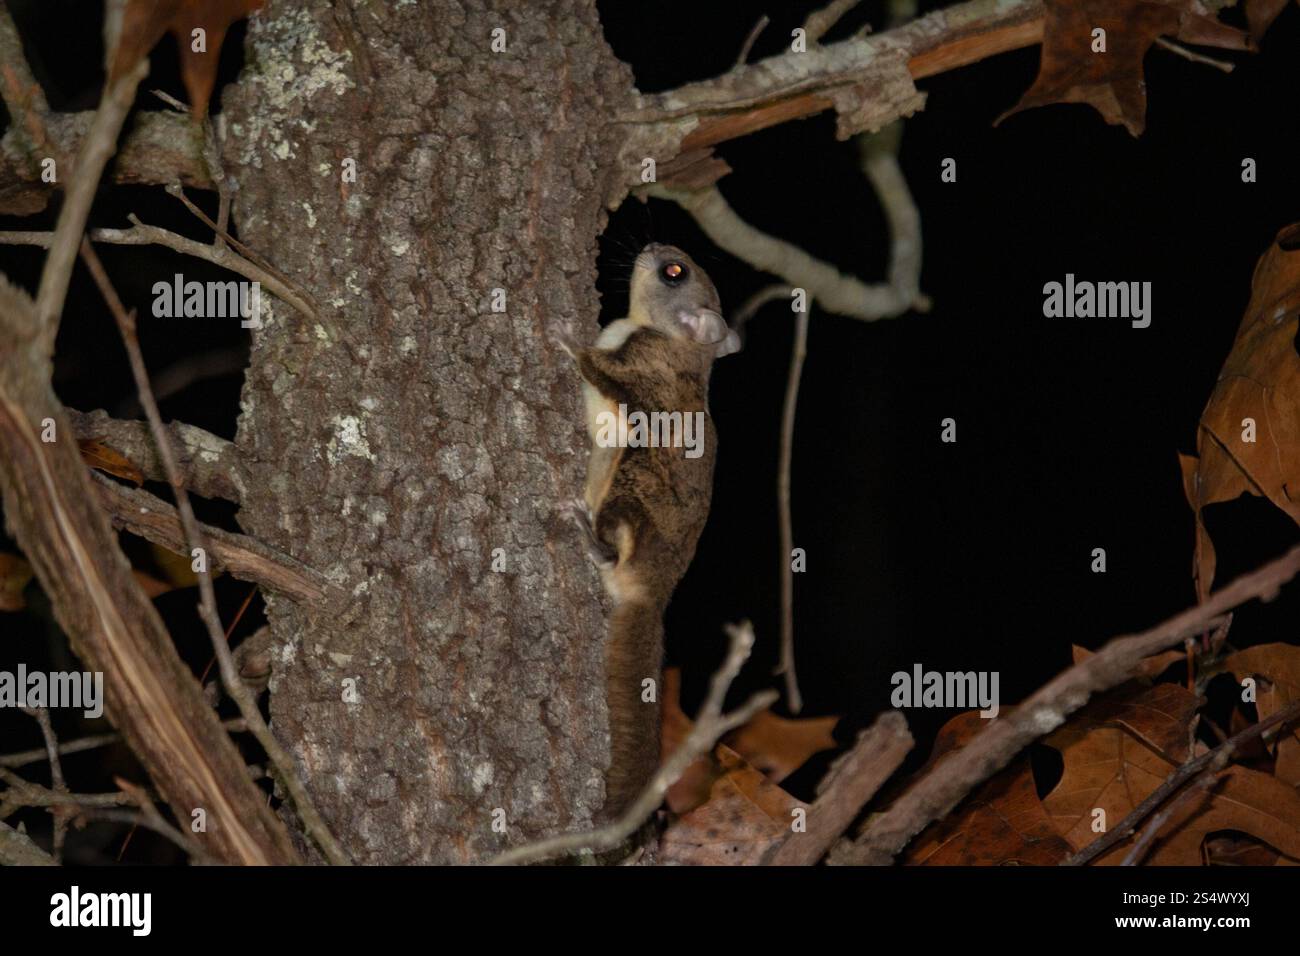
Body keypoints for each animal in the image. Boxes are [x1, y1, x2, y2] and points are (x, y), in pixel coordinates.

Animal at [556, 242, 739, 817]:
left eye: (674, 272)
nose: (653, 247)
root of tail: (651, 595)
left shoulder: (640, 373)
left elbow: (598, 370)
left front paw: (563, 337)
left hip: (631, 496)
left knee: (613, 550)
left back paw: (588, 538)